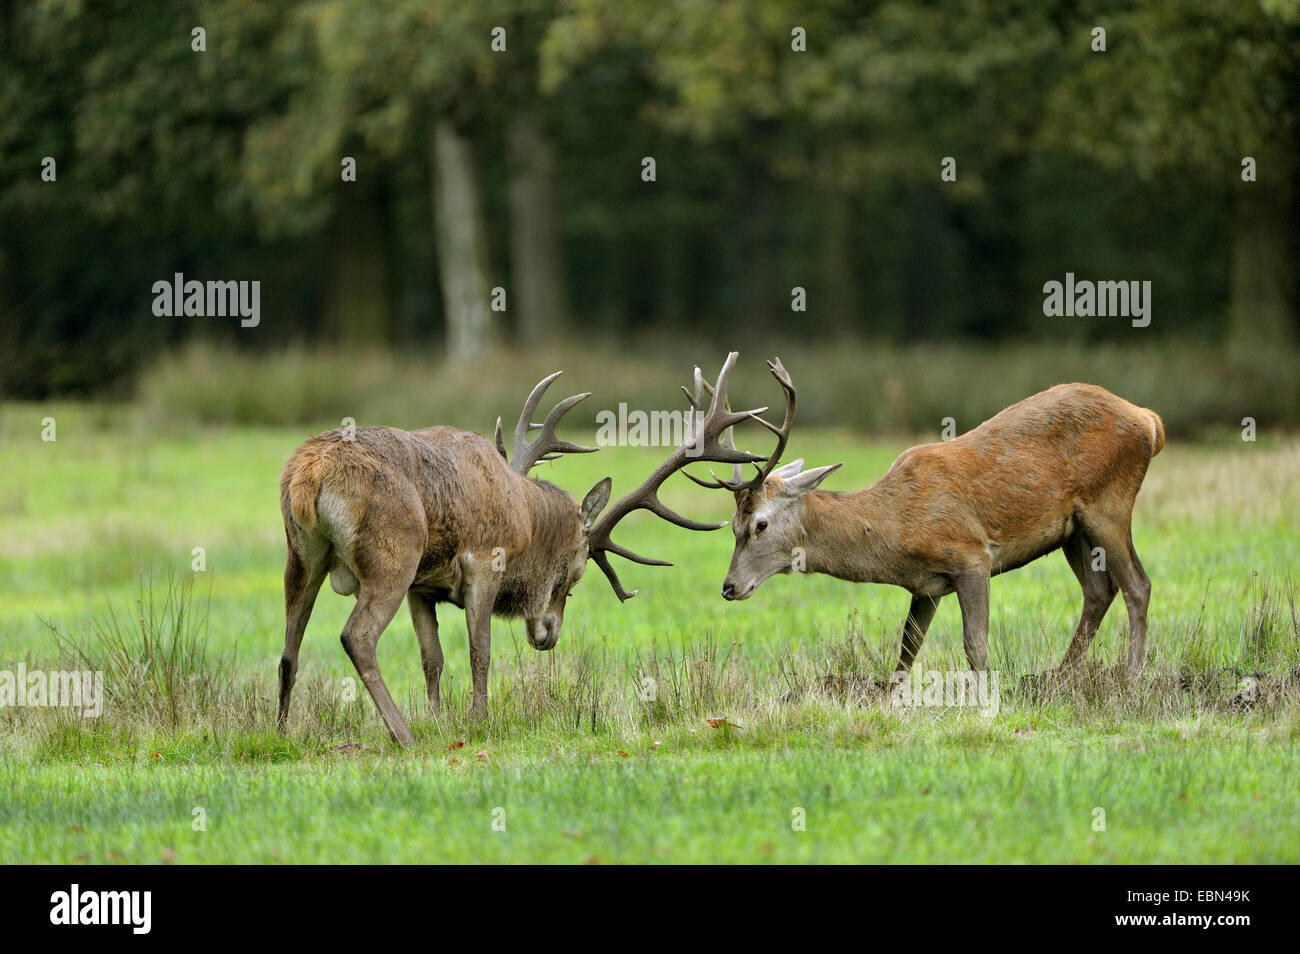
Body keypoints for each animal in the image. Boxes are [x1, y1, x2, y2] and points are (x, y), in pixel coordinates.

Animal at [276, 355, 765, 744]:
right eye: (575, 572)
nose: (548, 635)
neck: (525, 520)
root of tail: (309, 473)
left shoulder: (422, 586)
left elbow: (432, 659)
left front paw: (439, 718)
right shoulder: (482, 562)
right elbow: (480, 651)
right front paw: (477, 720)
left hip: (302, 555)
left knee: (288, 648)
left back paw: (280, 730)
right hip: (393, 552)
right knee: (355, 635)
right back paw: (403, 735)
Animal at [687, 356, 1164, 684]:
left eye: (760, 524)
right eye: (732, 527)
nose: (729, 587)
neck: (896, 529)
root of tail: (1150, 421)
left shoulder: (971, 556)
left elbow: (975, 645)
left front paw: (986, 700)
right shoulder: (926, 587)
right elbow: (907, 651)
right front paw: (892, 699)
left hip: (1109, 503)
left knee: (1137, 585)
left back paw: (1131, 678)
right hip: (1072, 528)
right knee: (1099, 590)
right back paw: (1059, 678)